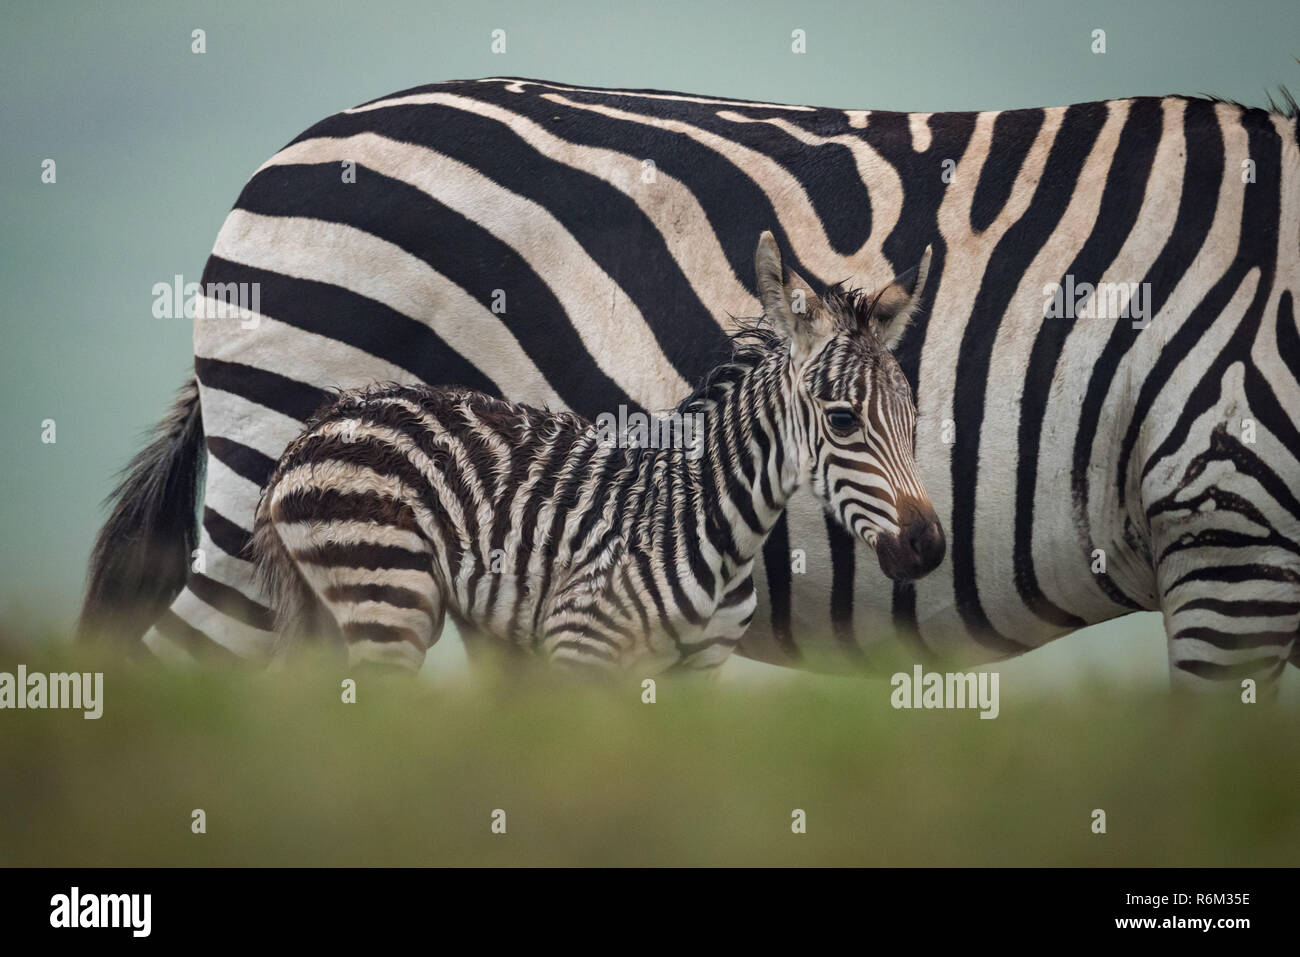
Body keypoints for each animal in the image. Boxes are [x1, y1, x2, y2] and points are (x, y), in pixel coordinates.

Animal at [249, 233, 943, 673]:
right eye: (843, 420)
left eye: (914, 421)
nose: (929, 547)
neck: (718, 524)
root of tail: (314, 429)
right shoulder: (581, 642)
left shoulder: (697, 672)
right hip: (389, 594)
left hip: (334, 608)